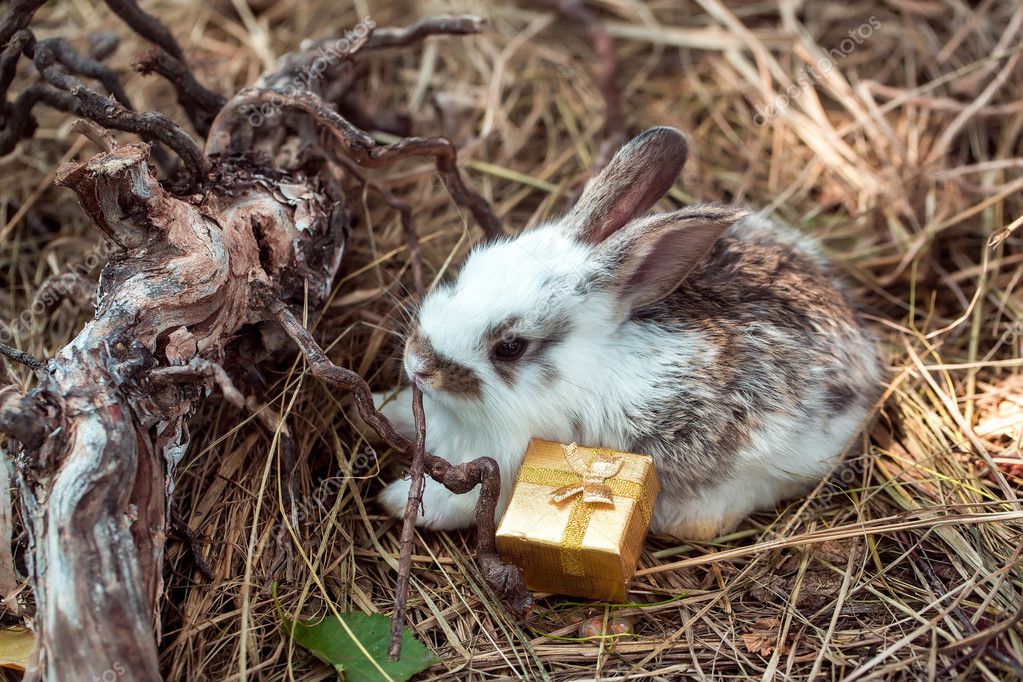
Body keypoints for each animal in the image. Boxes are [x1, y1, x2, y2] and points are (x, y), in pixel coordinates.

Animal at [370, 126, 881, 540]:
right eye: (468, 271)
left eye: (510, 347)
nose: (417, 364)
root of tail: (864, 364)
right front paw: (378, 407)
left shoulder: (504, 464)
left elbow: (455, 501)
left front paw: (394, 500)